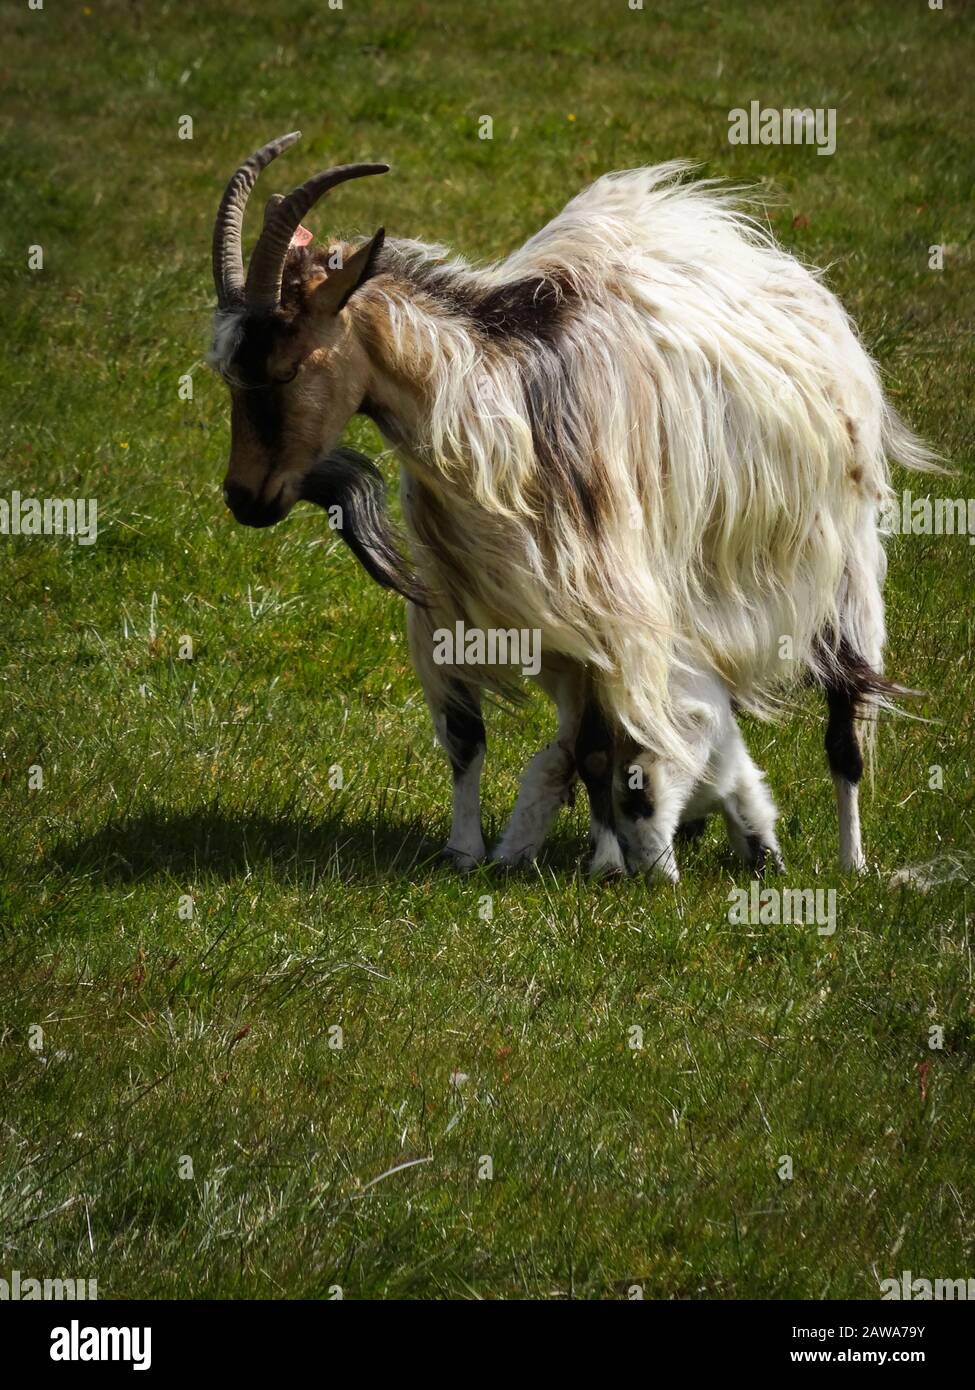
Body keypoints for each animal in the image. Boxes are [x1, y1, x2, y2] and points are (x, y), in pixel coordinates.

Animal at [207, 132, 933, 880]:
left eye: (289, 367)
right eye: (227, 372)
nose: (244, 497)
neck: (496, 410)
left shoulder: (607, 602)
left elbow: (598, 744)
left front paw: (610, 863)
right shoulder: (462, 599)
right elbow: (472, 736)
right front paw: (468, 850)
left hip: (839, 557)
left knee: (847, 706)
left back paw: (851, 860)